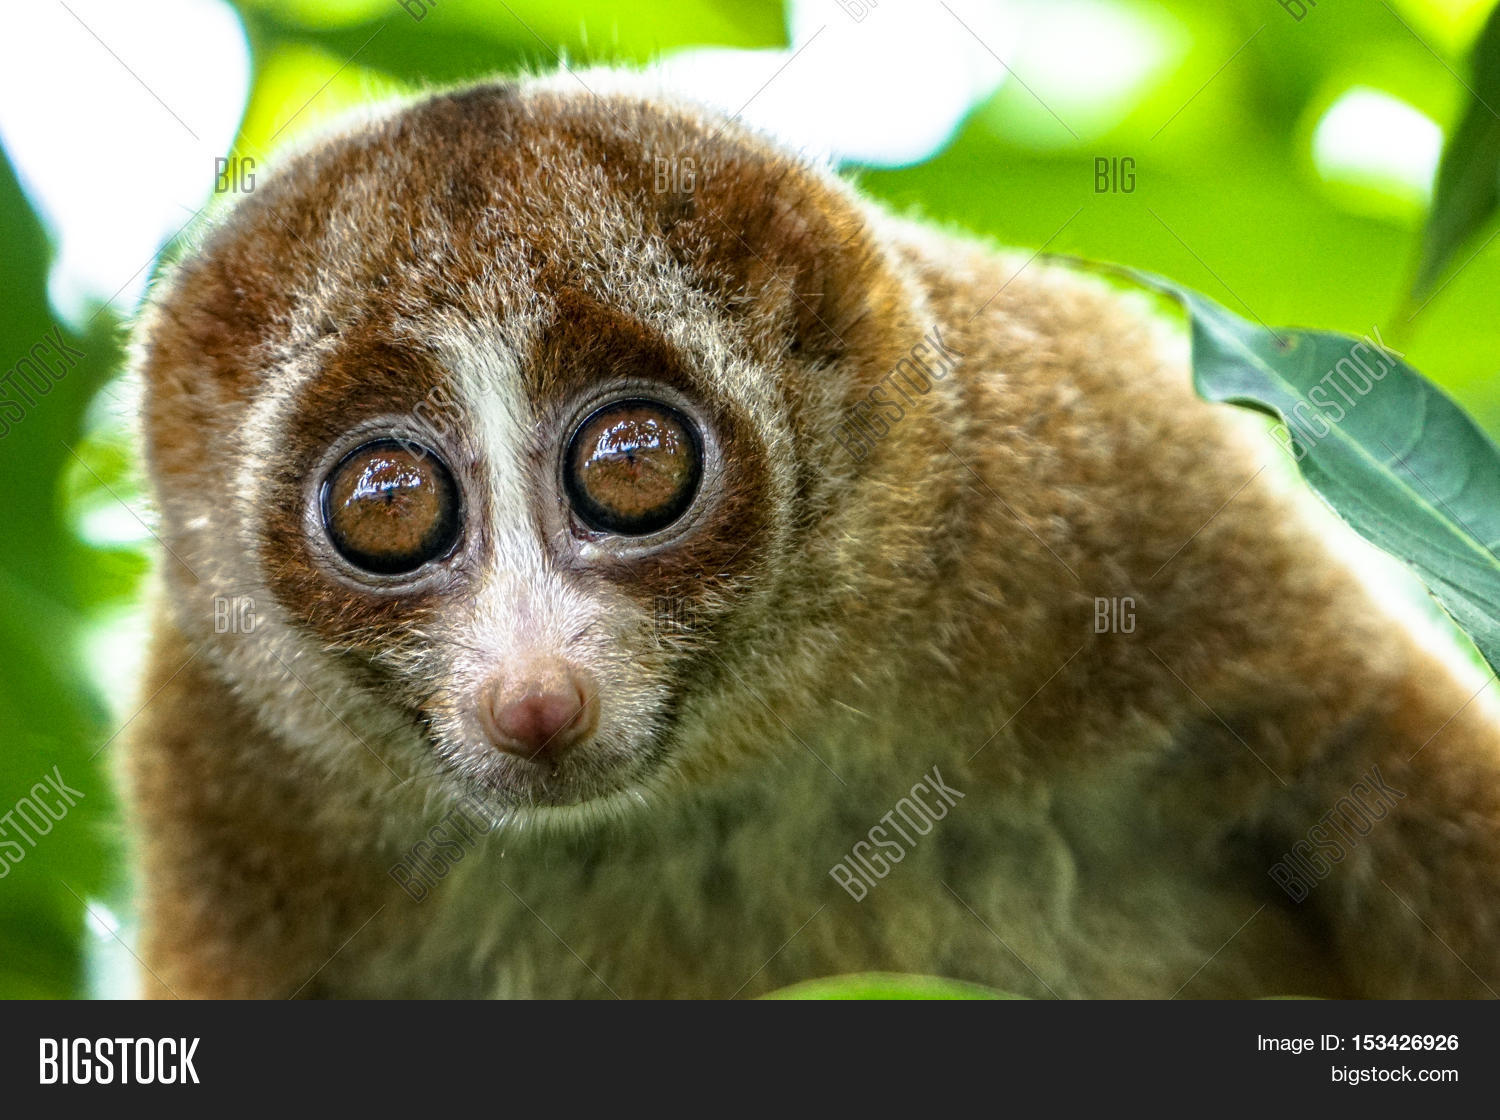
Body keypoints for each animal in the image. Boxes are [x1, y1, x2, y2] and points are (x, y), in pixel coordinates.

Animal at [122, 71, 1500, 999]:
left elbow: (1368, 744)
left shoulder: (1098, 478)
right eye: (387, 506)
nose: (535, 696)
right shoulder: (226, 782)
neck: (715, 785)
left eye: (635, 467)